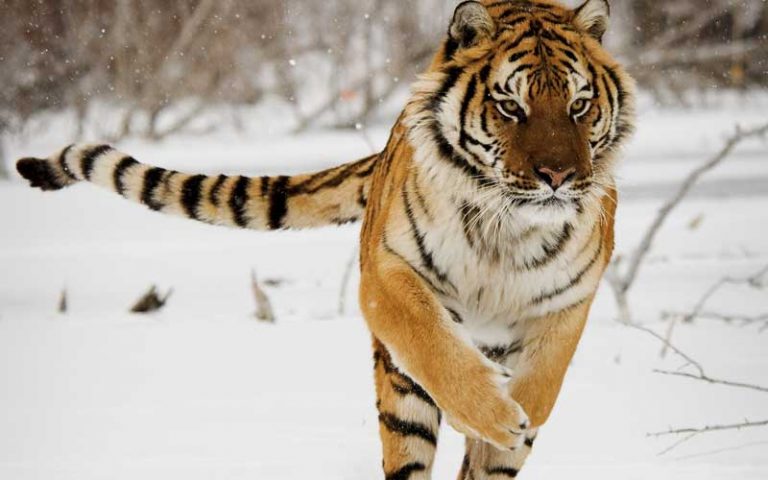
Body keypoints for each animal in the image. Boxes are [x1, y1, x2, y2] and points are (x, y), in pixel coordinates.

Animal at [16, 0, 634, 478]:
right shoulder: (386, 274)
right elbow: (435, 346)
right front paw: (494, 414)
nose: (558, 177)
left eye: (579, 105)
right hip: (401, 394)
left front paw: (516, 419)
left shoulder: (569, 299)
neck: (507, 225)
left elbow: (542, 380)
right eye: (511, 106)